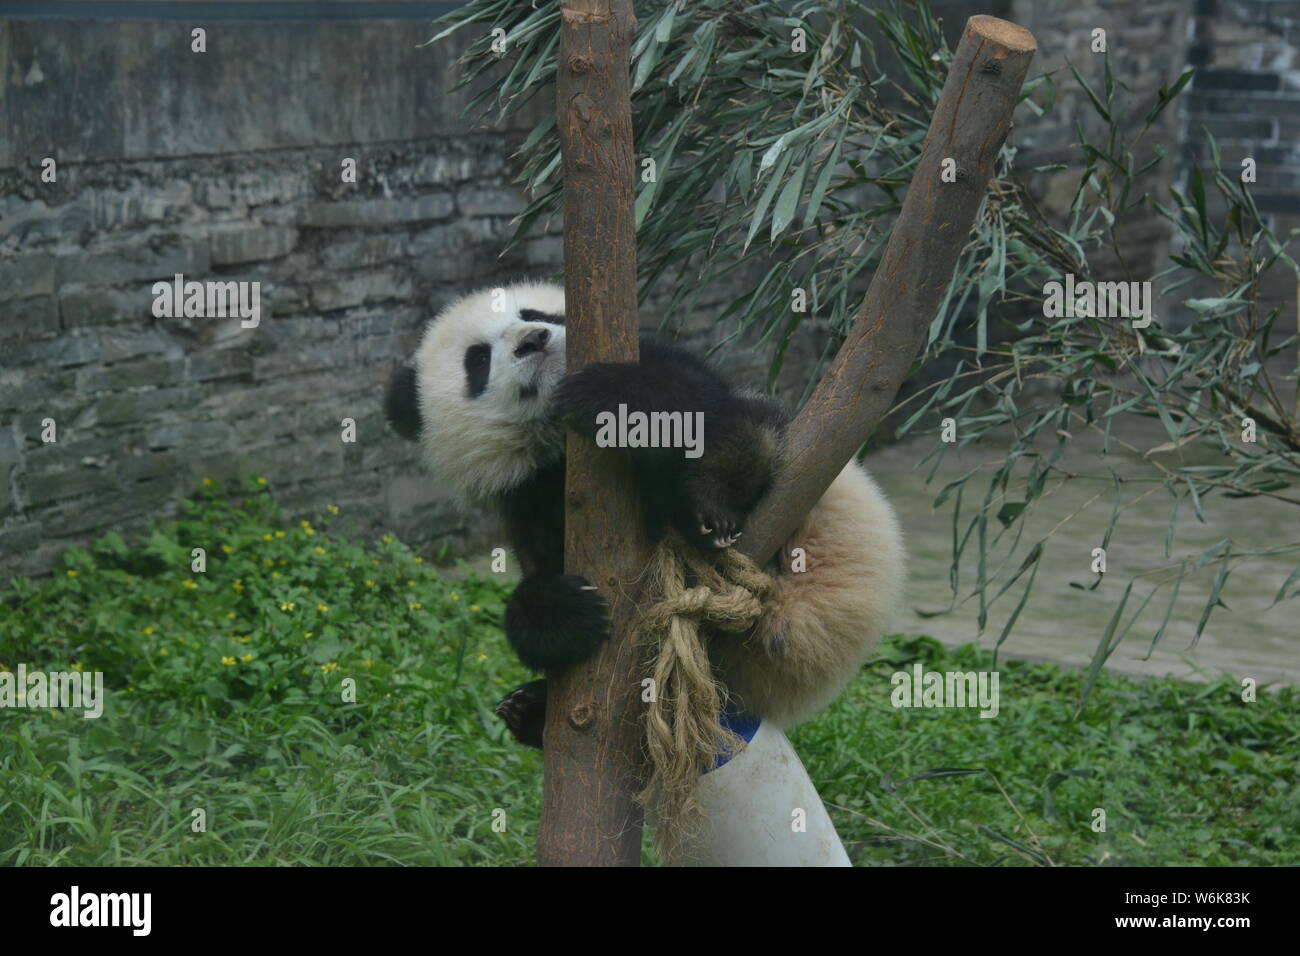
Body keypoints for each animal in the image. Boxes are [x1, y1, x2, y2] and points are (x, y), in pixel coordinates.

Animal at [385, 281, 904, 749]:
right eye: (477, 360)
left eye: (535, 312)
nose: (533, 339)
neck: (555, 434)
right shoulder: (530, 493)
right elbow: (542, 575)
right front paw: (565, 612)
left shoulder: (671, 366)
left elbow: (688, 403)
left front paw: (614, 401)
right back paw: (527, 710)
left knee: (748, 433)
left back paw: (708, 507)